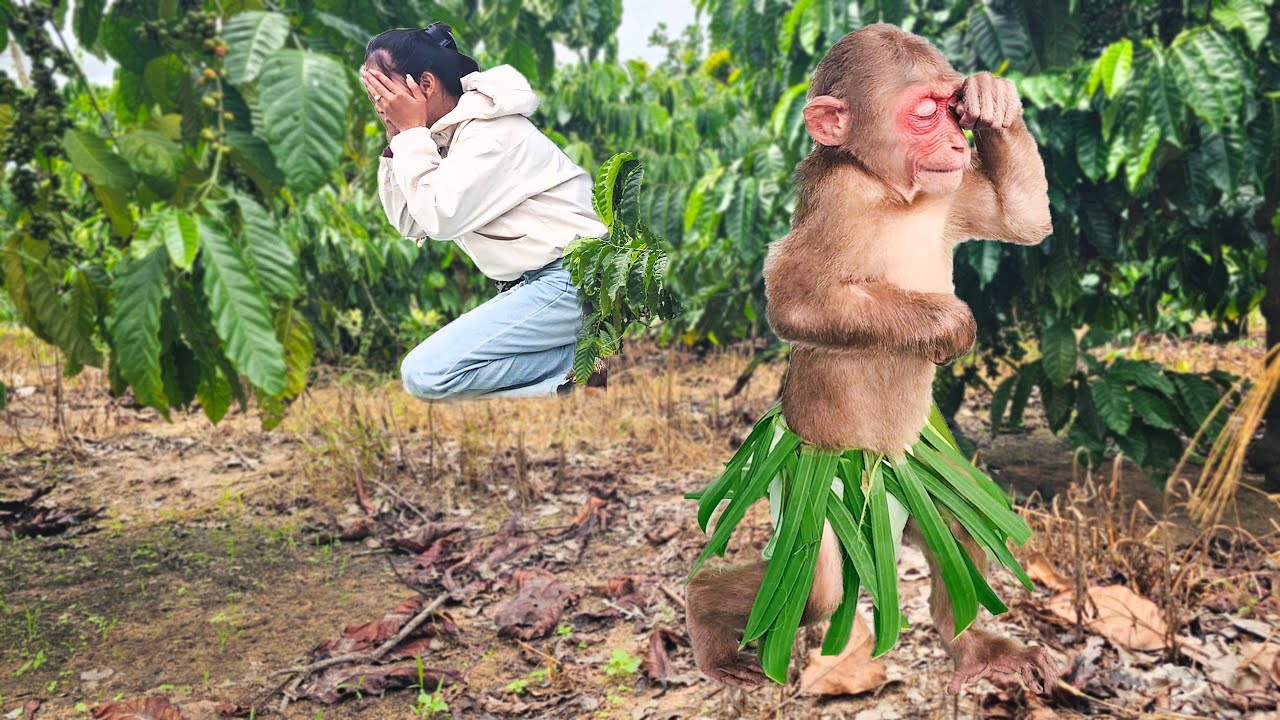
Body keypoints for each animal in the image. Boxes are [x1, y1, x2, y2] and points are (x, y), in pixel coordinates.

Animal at [686, 24, 1061, 694]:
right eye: (924, 114)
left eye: (953, 111)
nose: (956, 139)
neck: (895, 192)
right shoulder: (837, 196)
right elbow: (794, 302)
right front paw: (948, 323)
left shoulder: (948, 193)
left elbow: (1022, 221)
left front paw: (995, 101)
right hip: (812, 495)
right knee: (820, 591)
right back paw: (705, 614)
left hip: (918, 470)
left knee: (955, 518)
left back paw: (972, 645)